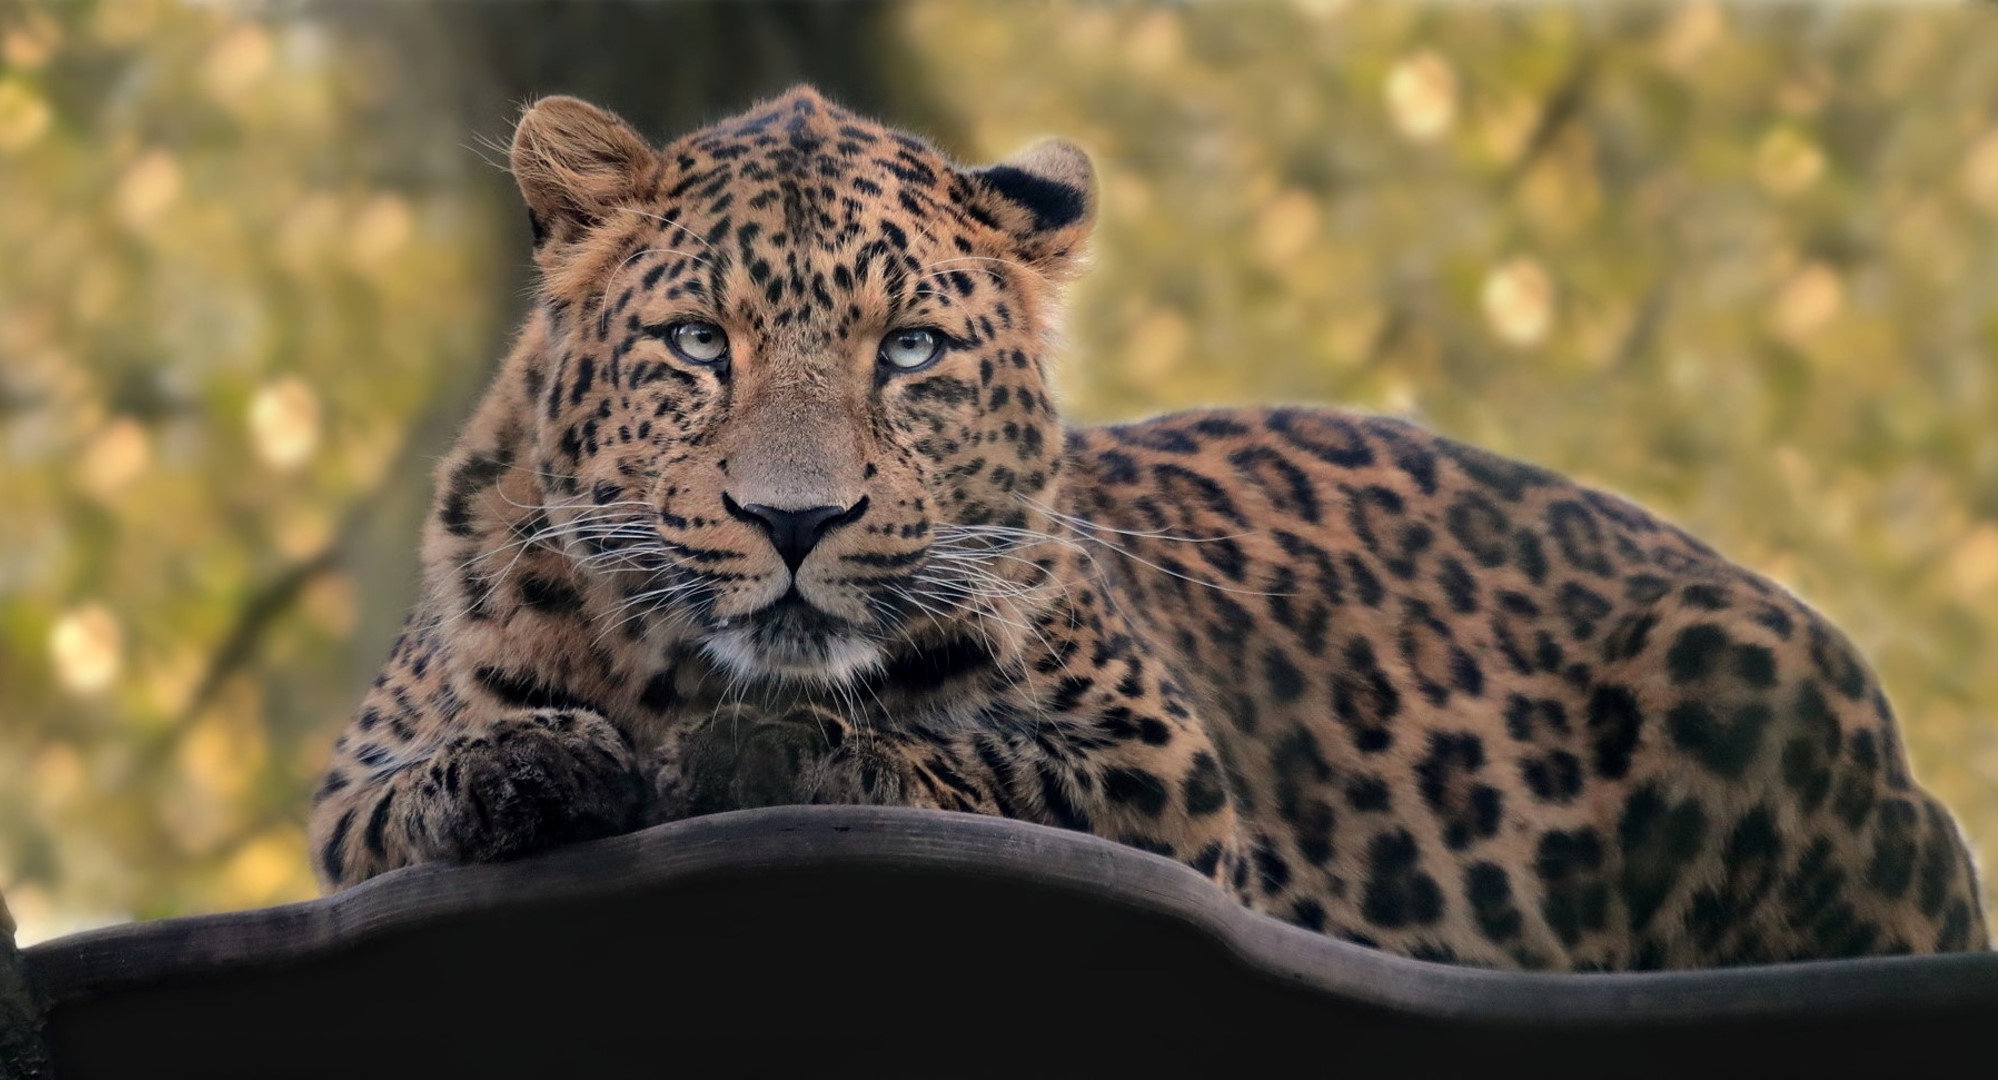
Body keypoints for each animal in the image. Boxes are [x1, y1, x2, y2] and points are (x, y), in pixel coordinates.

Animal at [308, 85, 1987, 970]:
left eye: (908, 350)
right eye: (696, 345)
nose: (794, 519)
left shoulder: (1167, 783)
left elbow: (972, 761)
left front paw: (767, 749)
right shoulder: (350, 789)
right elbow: (418, 787)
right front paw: (536, 767)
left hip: (1735, 656)